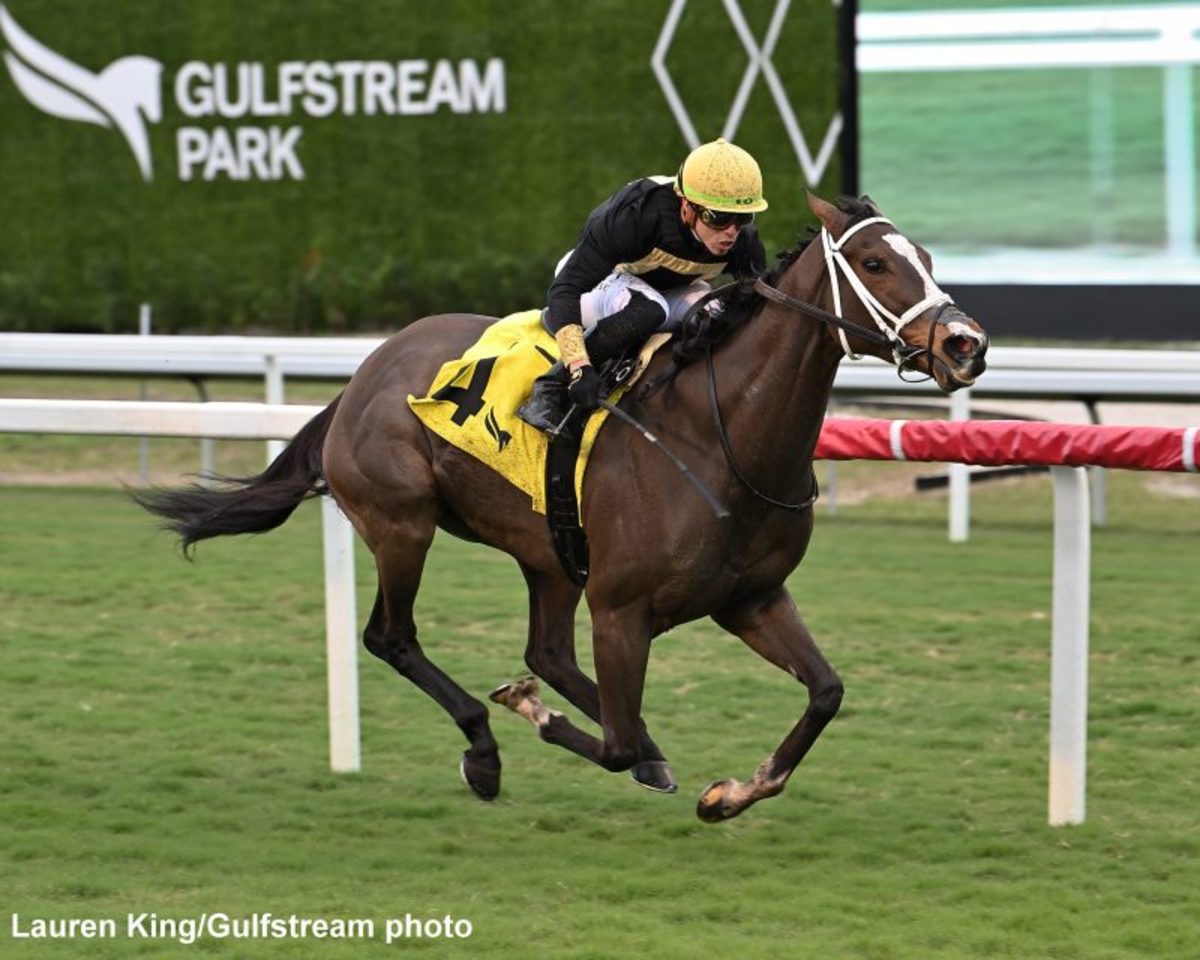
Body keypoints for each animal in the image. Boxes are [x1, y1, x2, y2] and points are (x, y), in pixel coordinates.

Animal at [136, 192, 988, 822]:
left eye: (927, 260)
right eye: (875, 263)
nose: (965, 345)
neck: (722, 437)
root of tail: (360, 378)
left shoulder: (751, 597)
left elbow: (825, 693)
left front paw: (729, 793)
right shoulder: (621, 608)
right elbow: (612, 742)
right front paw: (538, 721)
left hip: (547, 550)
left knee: (549, 653)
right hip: (401, 522)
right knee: (392, 637)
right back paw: (486, 748)